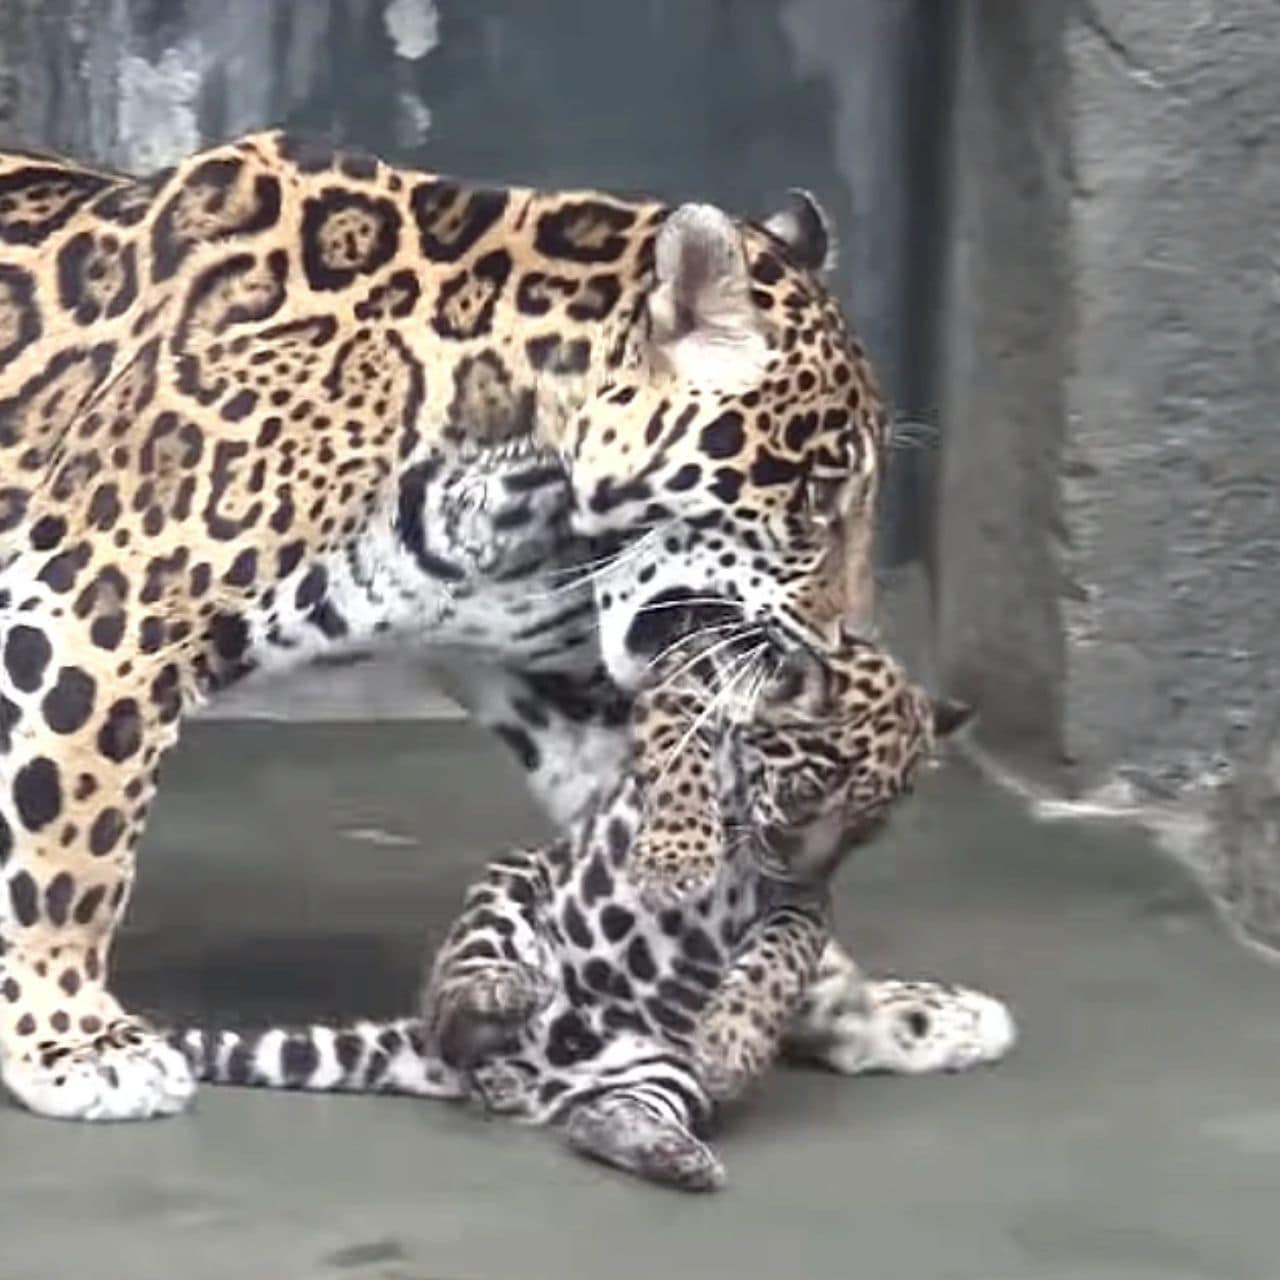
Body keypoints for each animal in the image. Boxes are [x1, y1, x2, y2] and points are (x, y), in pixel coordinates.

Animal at [0, 126, 979, 1124]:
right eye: (817, 497)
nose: (848, 639)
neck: (517, 468)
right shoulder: (105, 615)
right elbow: (75, 854)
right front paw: (72, 1041)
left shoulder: (557, 688)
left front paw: (880, 1011)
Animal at [174, 629, 1016, 1192]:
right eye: (816, 783)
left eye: (871, 825)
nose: (801, 858)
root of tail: (526, 1071)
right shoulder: (677, 714)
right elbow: (684, 756)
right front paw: (683, 848)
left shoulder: (799, 907)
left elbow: (781, 951)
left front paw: (735, 1041)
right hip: (515, 879)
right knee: (461, 993)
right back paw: (495, 998)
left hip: (661, 1069)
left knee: (595, 1120)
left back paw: (671, 1152)